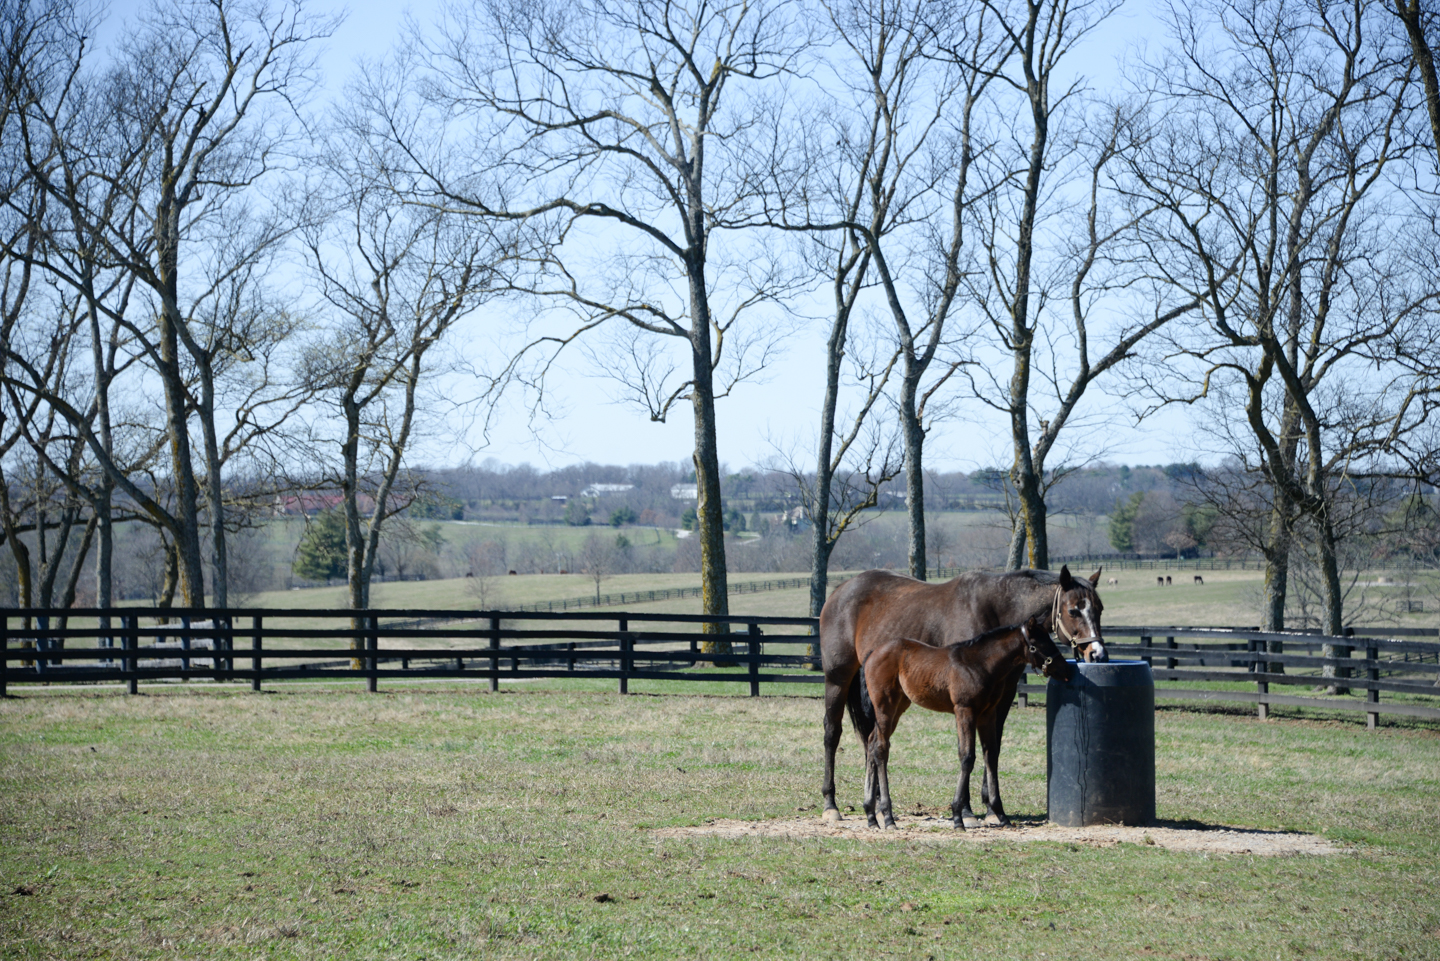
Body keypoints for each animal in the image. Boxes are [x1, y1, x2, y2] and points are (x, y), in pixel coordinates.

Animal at [858, 615, 1074, 829]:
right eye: (1040, 643)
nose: (1066, 670)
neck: (980, 664)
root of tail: (872, 653)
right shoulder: (964, 710)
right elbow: (967, 756)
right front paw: (957, 816)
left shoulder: (988, 714)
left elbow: (991, 756)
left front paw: (1001, 815)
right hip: (885, 705)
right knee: (881, 748)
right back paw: (888, 817)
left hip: (899, 706)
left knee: (871, 742)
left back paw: (871, 815)